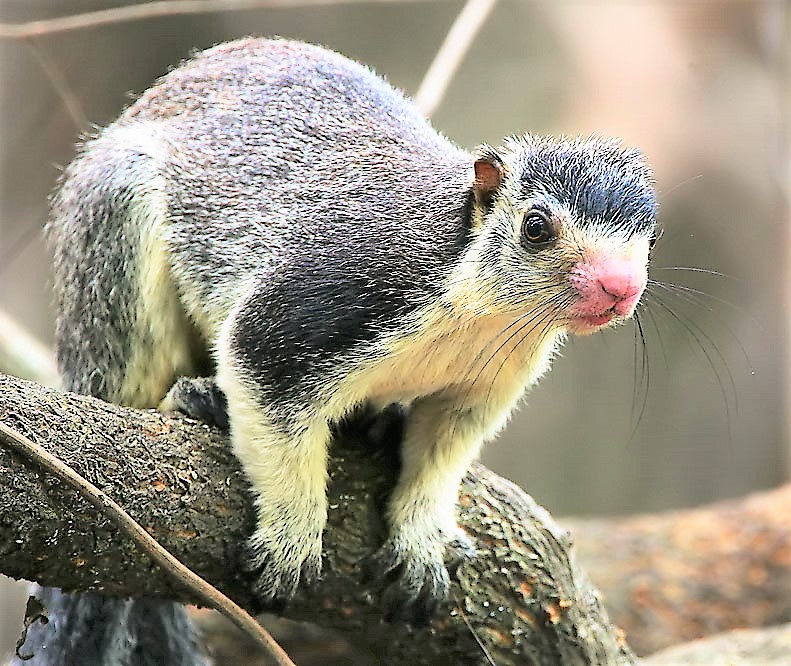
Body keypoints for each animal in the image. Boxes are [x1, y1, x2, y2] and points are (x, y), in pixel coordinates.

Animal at [26, 37, 657, 664]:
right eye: (535, 226)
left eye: (650, 235)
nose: (620, 287)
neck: (479, 320)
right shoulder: (313, 306)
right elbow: (273, 415)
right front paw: (290, 538)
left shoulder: (479, 390)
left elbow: (441, 459)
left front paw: (421, 540)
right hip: (115, 241)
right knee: (132, 385)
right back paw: (195, 398)